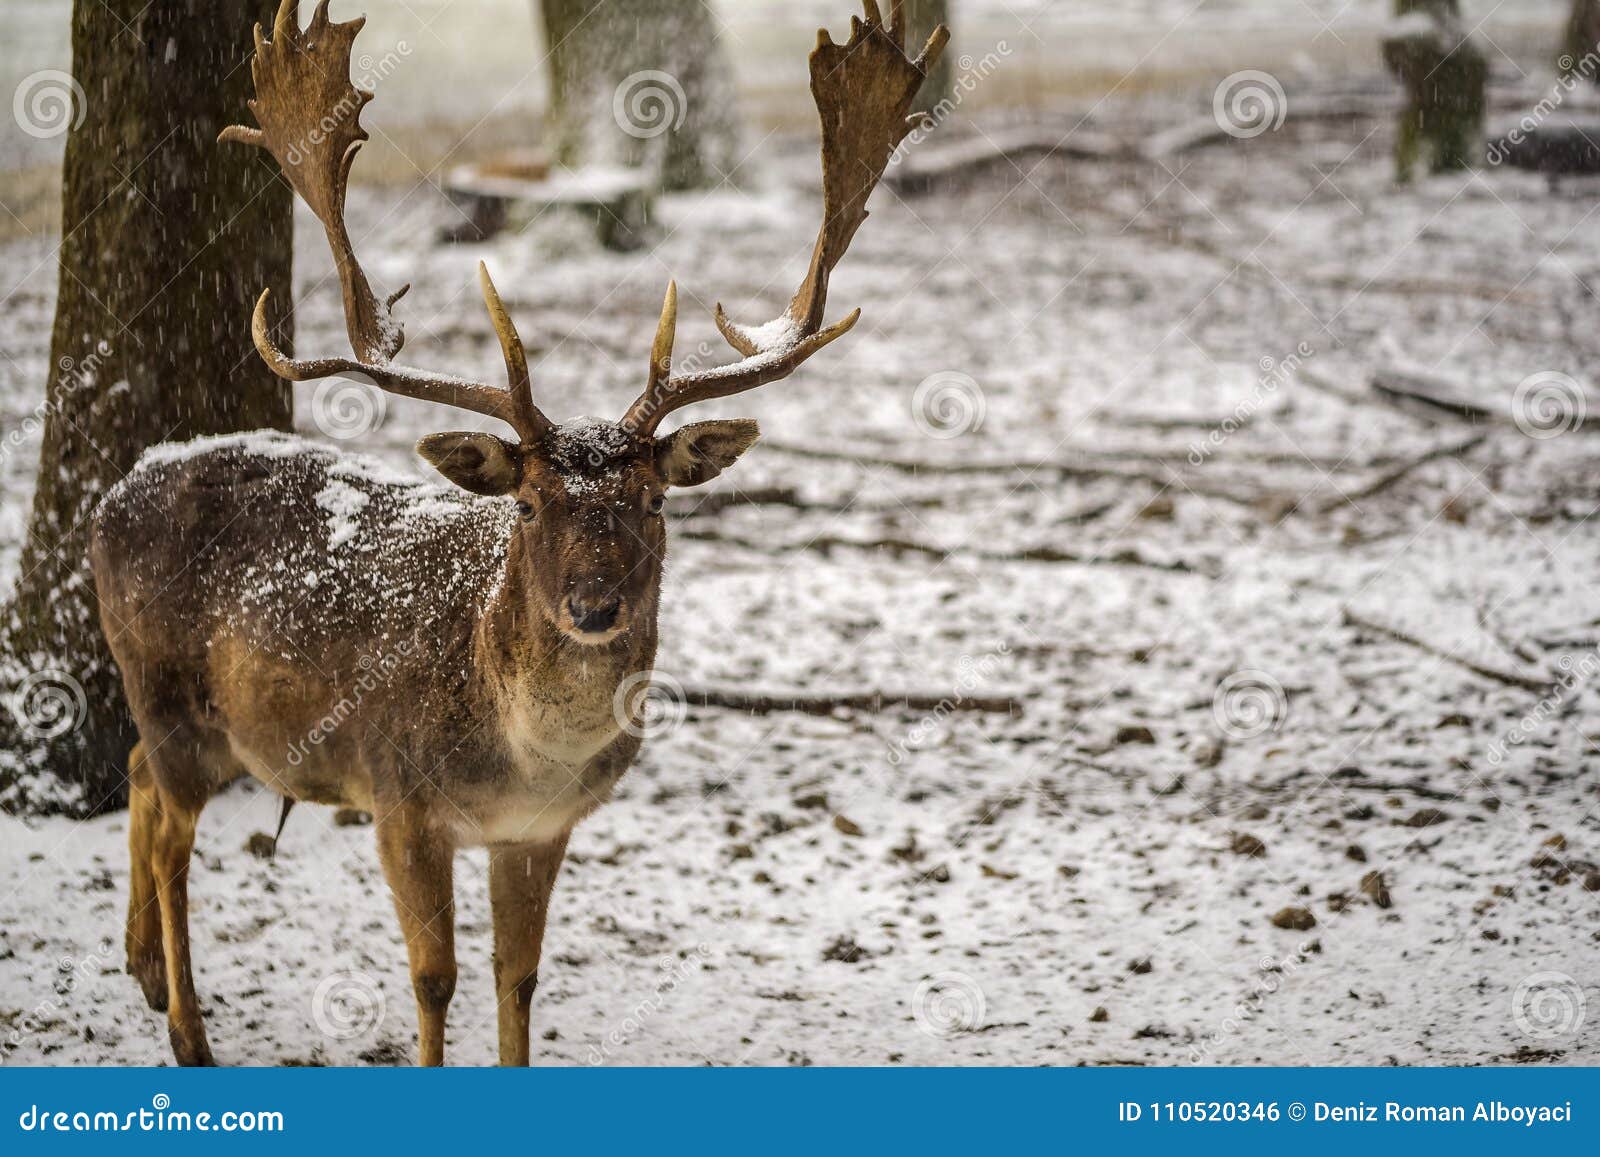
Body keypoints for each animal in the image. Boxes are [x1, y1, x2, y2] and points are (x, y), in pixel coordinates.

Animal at [88, 0, 947, 1067]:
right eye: (529, 503)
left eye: (655, 500)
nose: (594, 603)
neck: (527, 755)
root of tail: (115, 492)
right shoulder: (400, 798)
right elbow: (434, 977)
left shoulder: (539, 827)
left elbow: (519, 976)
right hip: (165, 687)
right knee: (171, 833)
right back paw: (188, 1031)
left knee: (134, 778)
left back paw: (142, 970)